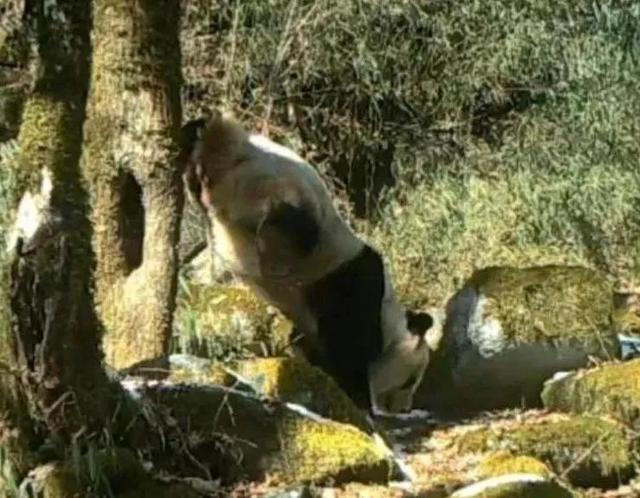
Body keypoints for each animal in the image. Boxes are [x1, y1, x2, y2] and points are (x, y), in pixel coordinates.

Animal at [181, 111, 433, 414]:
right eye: (411, 381)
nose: (404, 408)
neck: (390, 321)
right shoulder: (350, 288)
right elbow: (348, 348)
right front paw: (358, 400)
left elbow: (310, 349)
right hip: (285, 195)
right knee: (292, 226)